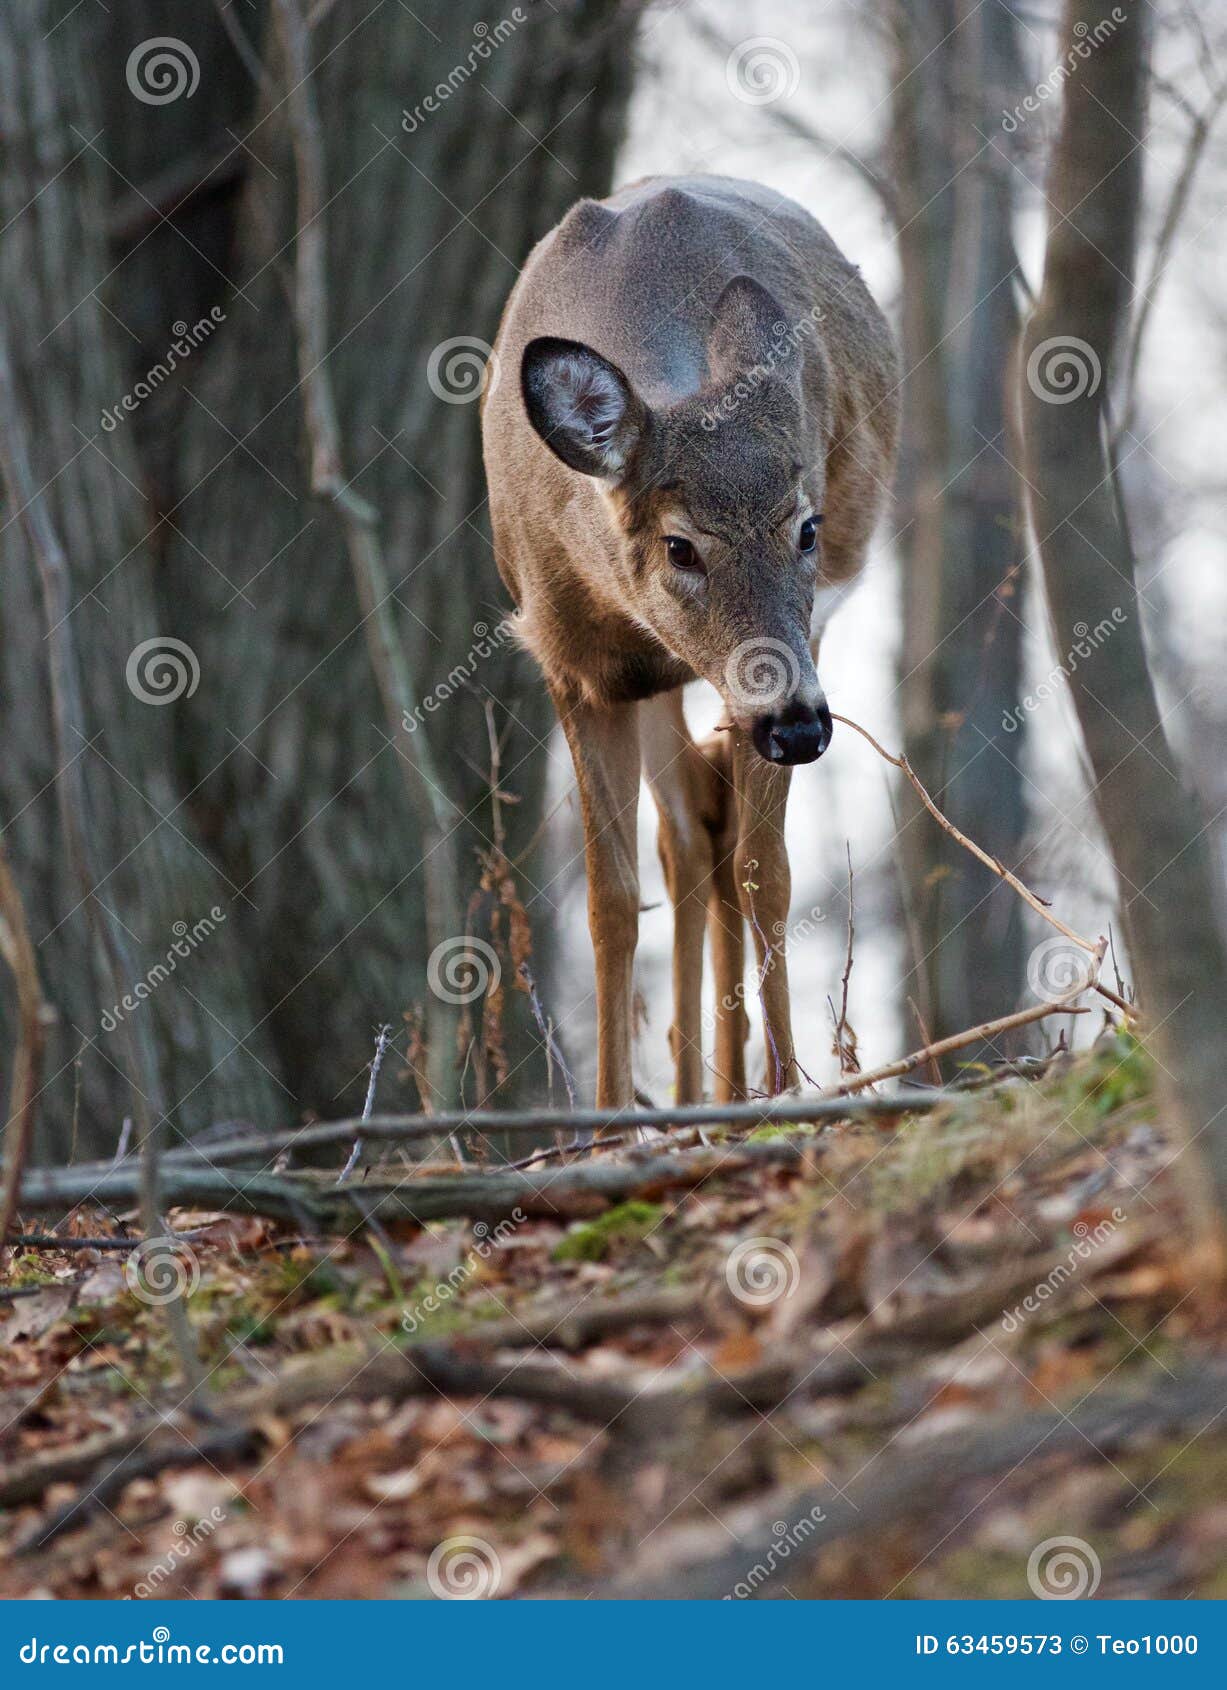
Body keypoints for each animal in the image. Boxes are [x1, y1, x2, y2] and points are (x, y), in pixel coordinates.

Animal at [482, 175, 898, 1110]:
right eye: (680, 546)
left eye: (807, 527)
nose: (801, 725)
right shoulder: (573, 663)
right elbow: (608, 901)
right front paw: (607, 1121)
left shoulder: (791, 649)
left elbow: (764, 868)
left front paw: (784, 1090)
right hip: (673, 685)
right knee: (684, 837)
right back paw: (688, 1095)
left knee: (717, 831)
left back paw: (732, 1093)